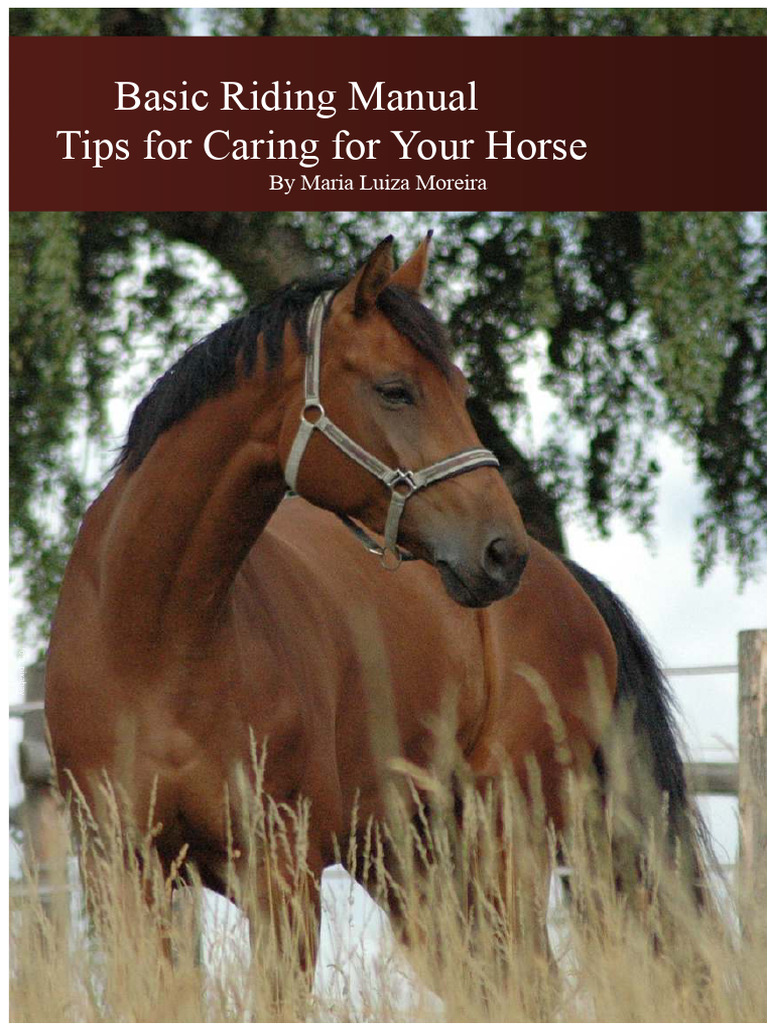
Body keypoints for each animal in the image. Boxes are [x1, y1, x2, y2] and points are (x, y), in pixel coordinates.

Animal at [45, 235, 706, 995]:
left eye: (461, 389)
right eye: (396, 389)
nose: (500, 551)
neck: (155, 637)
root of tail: (567, 580)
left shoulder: (282, 878)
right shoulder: (121, 876)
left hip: (504, 840)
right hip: (416, 869)